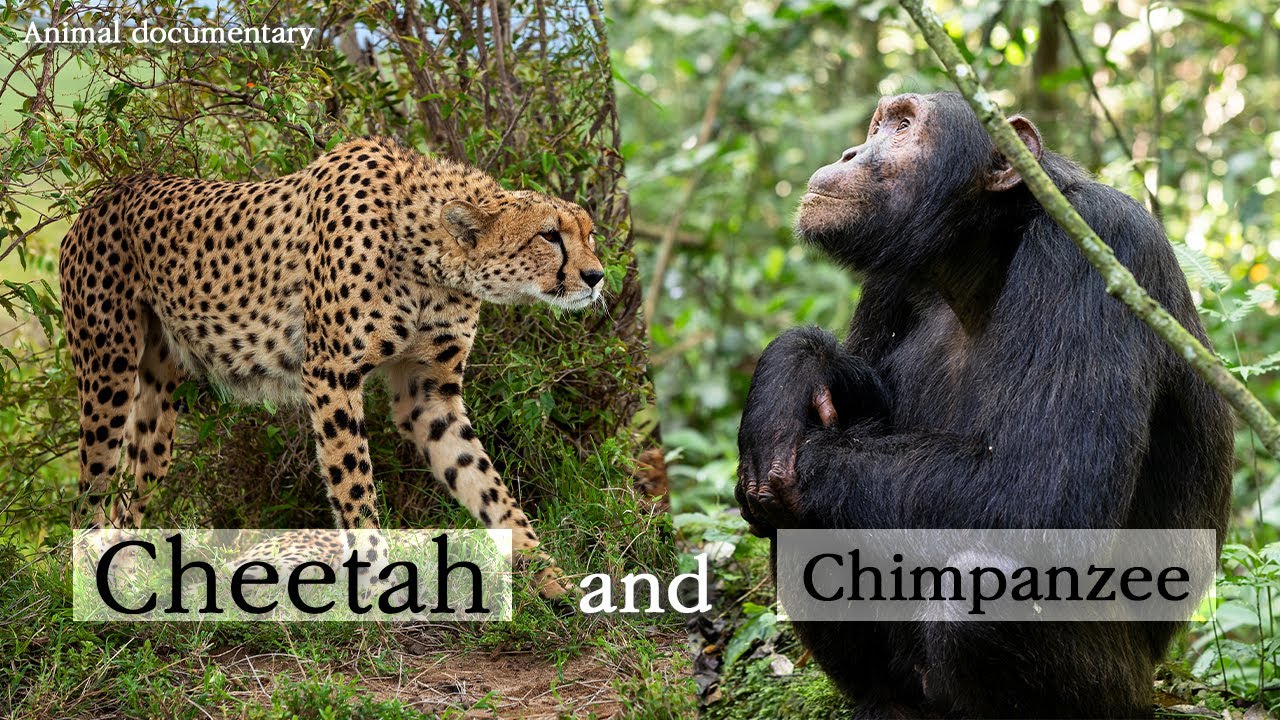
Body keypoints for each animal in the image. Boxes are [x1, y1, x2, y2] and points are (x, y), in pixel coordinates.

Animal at [58, 137, 605, 599]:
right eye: (550, 236)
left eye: (590, 235)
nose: (597, 276)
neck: (427, 257)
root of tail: (108, 190)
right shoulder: (330, 372)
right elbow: (354, 483)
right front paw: (379, 586)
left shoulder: (428, 393)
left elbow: (485, 483)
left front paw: (546, 574)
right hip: (108, 371)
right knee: (90, 494)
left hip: (156, 403)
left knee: (129, 494)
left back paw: (128, 585)